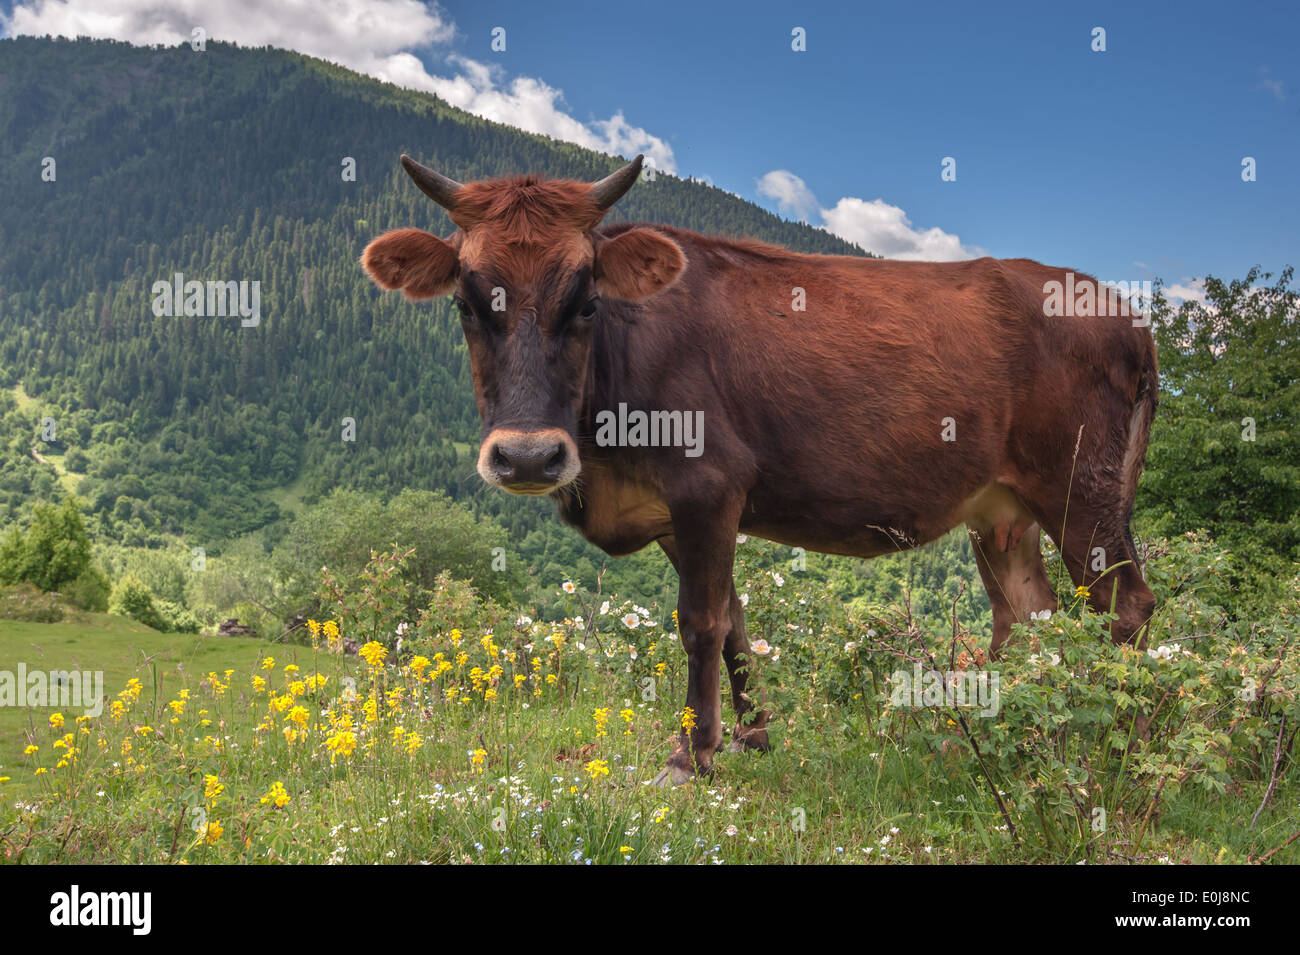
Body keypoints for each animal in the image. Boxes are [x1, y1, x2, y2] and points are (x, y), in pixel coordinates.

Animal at [362, 154, 1159, 785]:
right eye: (468, 303)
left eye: (586, 300)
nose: (528, 455)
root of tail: (1120, 310)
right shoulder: (673, 512)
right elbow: (735, 618)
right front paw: (750, 737)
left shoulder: (708, 483)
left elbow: (699, 620)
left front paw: (689, 757)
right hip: (1000, 509)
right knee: (1028, 615)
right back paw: (1014, 739)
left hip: (1080, 487)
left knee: (1123, 608)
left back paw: (1114, 751)